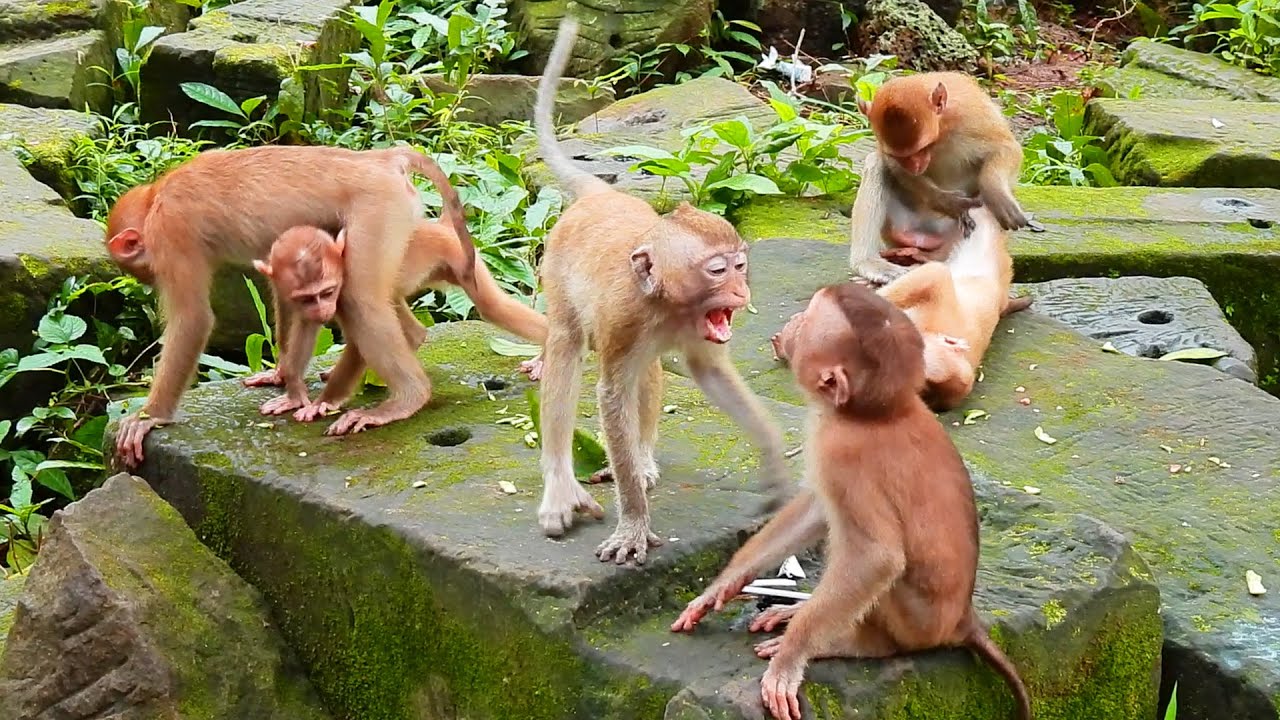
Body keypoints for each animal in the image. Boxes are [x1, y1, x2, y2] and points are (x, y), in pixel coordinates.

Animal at [104, 144, 464, 467]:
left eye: (141, 268)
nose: (148, 281)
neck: (154, 198)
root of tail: (382, 158)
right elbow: (284, 292)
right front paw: (283, 375)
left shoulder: (171, 232)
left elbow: (193, 319)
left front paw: (149, 417)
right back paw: (408, 340)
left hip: (378, 213)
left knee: (360, 298)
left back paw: (407, 398)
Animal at [250, 216, 547, 422]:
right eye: (307, 298)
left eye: (327, 292)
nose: (323, 310)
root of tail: (439, 225)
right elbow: (305, 328)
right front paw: (292, 391)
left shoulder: (350, 295)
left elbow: (358, 344)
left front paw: (324, 403)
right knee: (398, 311)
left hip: (460, 257)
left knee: (492, 307)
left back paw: (545, 354)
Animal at [532, 15, 790, 565]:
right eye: (718, 271)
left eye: (740, 266)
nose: (740, 293)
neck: (669, 305)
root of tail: (600, 195)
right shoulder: (626, 319)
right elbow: (611, 397)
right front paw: (633, 521)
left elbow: (712, 375)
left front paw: (776, 464)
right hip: (558, 273)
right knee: (565, 347)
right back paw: (563, 485)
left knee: (649, 373)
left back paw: (644, 457)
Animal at [672, 282, 1032, 720]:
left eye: (809, 323)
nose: (791, 328)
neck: (876, 412)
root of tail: (963, 619)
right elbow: (815, 509)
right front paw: (723, 585)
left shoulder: (839, 452)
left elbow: (876, 557)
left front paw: (790, 659)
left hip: (914, 624)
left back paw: (851, 642)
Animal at [849, 71, 1028, 286]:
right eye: (902, 157)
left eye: (922, 149)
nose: (915, 167)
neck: (941, 128)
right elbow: (889, 163)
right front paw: (947, 202)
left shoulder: (972, 115)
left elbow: (1007, 149)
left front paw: (997, 196)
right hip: (896, 226)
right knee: (876, 163)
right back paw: (870, 263)